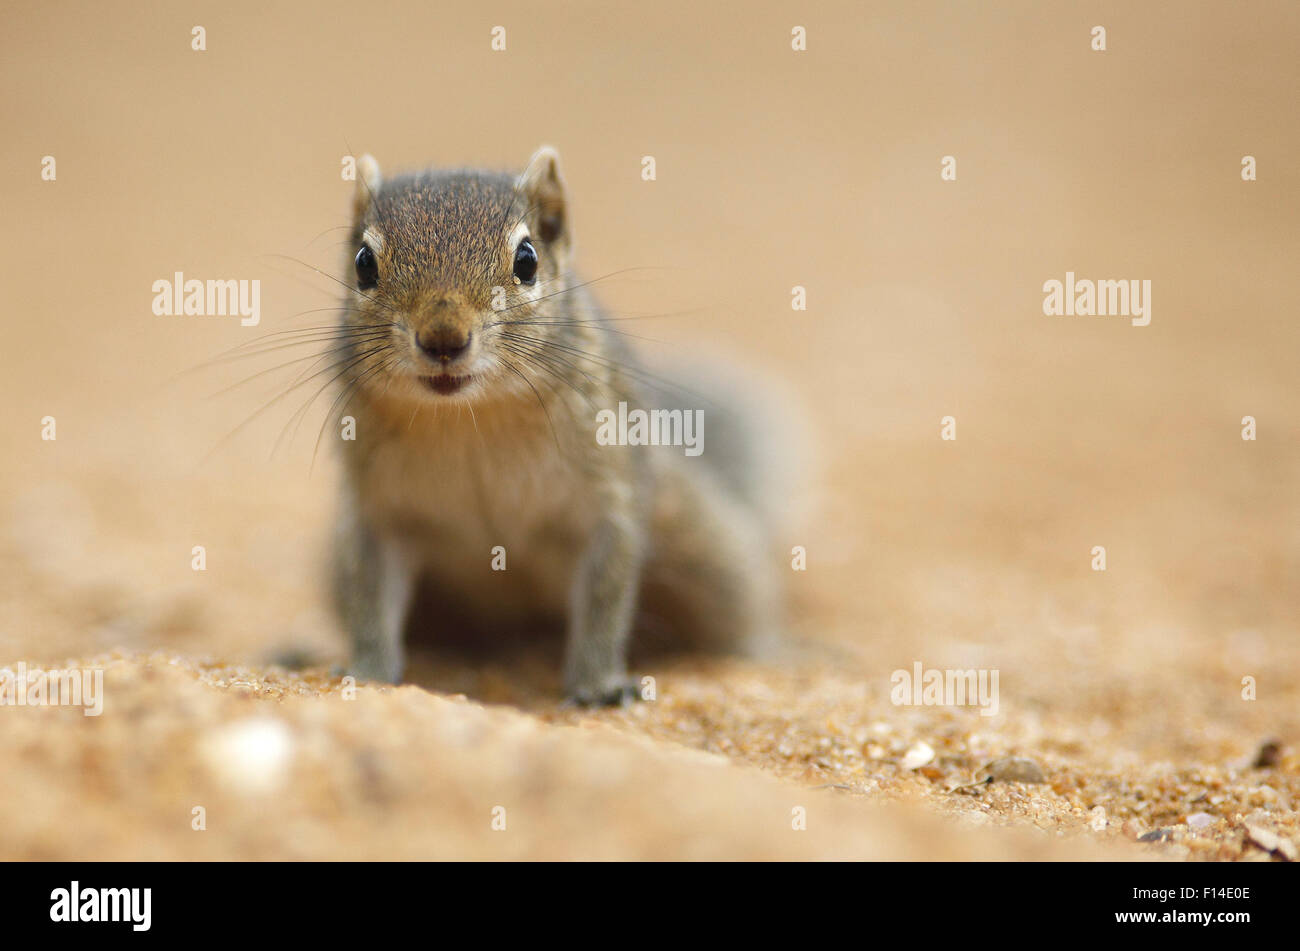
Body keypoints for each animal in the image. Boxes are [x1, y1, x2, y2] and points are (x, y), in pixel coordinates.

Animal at [330, 146, 784, 705]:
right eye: (363, 263)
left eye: (527, 260)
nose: (443, 339)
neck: (470, 416)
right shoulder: (377, 515)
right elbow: (369, 595)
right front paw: (367, 670)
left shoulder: (611, 498)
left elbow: (605, 594)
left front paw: (599, 685)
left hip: (707, 554)